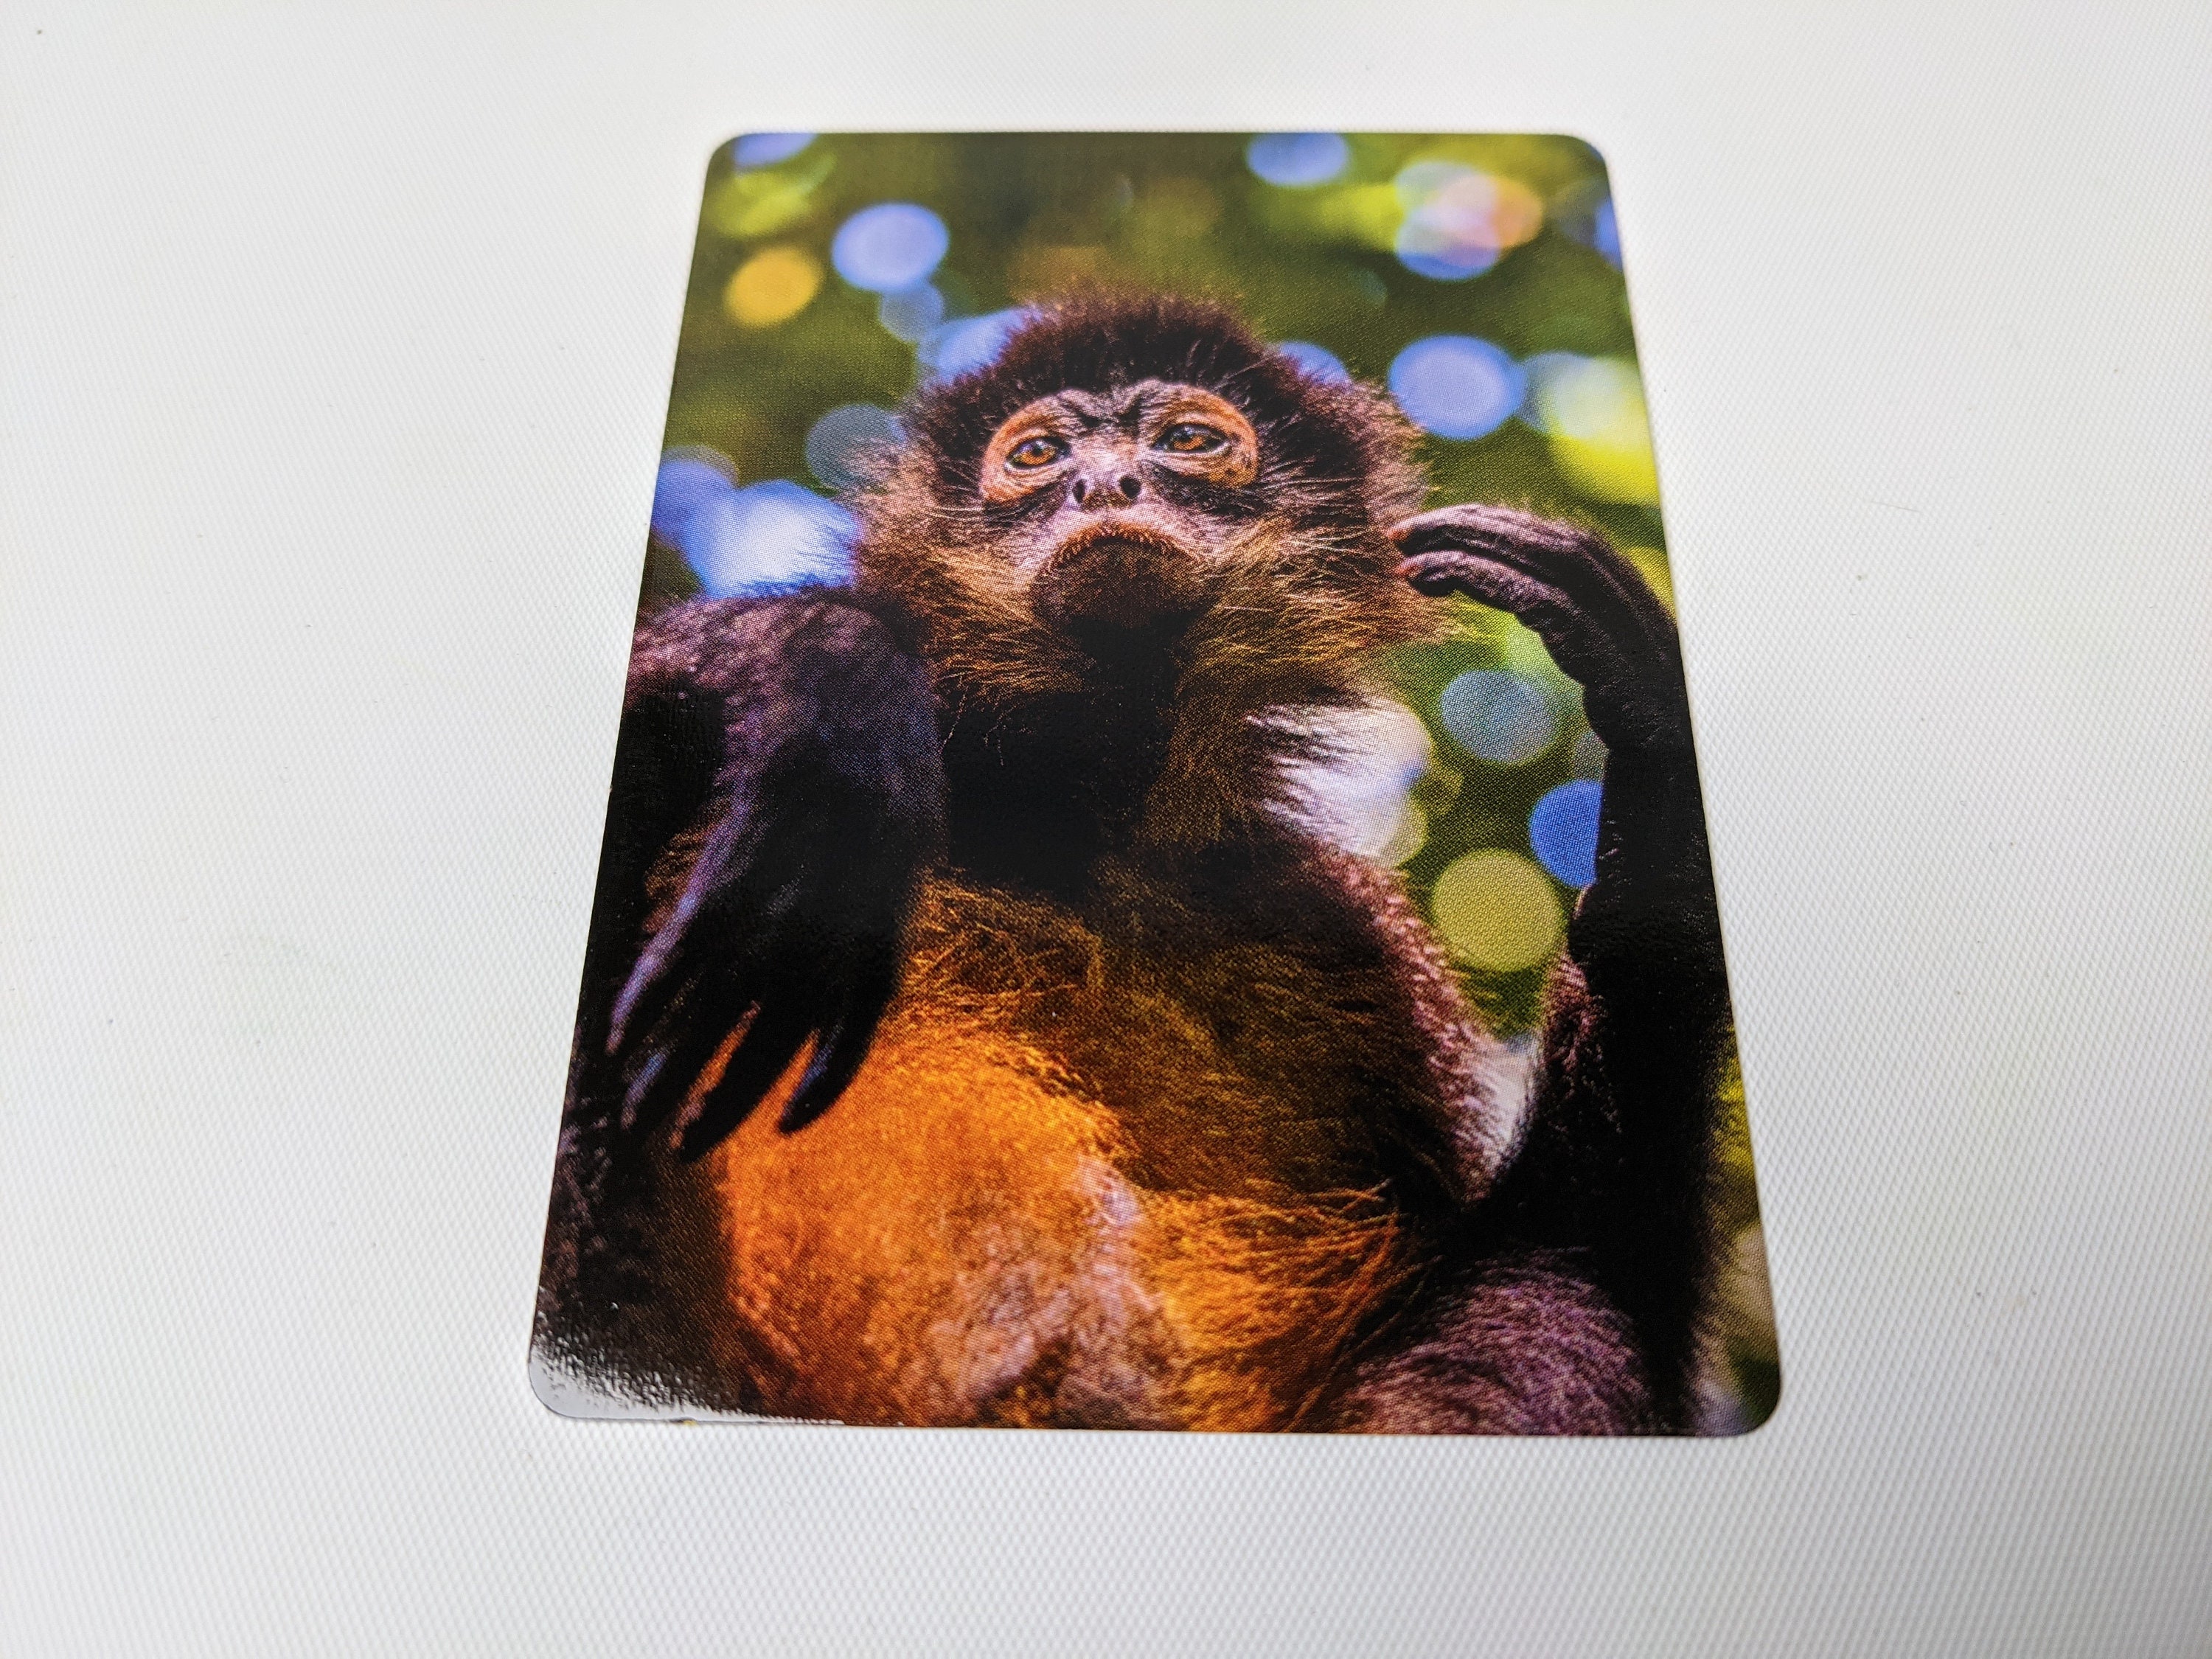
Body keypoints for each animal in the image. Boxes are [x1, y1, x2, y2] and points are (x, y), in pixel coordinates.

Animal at [531, 292, 1735, 1433]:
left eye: (1190, 440)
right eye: (1035, 455)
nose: (1105, 483)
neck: (1076, 825)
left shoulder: (1334, 924)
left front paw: (1660, 810)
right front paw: (815, 671)